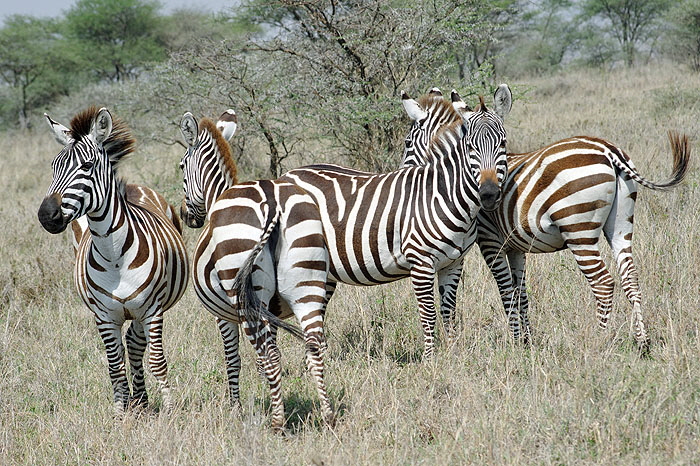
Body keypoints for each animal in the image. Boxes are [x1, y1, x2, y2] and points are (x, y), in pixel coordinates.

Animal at [37, 107, 190, 416]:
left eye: (87, 166)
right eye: (53, 166)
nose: (47, 215)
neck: (114, 256)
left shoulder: (152, 309)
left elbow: (157, 361)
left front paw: (169, 411)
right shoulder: (104, 316)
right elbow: (114, 366)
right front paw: (120, 412)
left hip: (144, 310)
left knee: (136, 345)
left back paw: (142, 399)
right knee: (126, 348)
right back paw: (136, 400)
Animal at [178, 111, 334, 430]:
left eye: (181, 167)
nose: (188, 218)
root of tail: (272, 199)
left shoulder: (223, 316)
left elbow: (233, 359)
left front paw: (235, 408)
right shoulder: (271, 310)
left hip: (243, 295)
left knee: (271, 355)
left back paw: (277, 422)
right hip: (307, 284)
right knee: (314, 347)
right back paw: (327, 416)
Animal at [279, 85, 513, 359]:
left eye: (503, 143)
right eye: (470, 147)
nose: (489, 194)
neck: (443, 194)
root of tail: (287, 175)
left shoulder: (454, 263)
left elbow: (448, 312)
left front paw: (453, 357)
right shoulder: (421, 263)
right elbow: (428, 315)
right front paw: (430, 361)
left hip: (323, 268)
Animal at [400, 88, 691, 352]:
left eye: (406, 143)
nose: (489, 196)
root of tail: (608, 151)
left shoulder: (490, 241)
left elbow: (506, 292)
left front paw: (516, 344)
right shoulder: (516, 247)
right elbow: (521, 293)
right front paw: (527, 341)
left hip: (578, 229)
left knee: (603, 283)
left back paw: (599, 342)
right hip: (620, 224)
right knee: (631, 278)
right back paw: (642, 342)